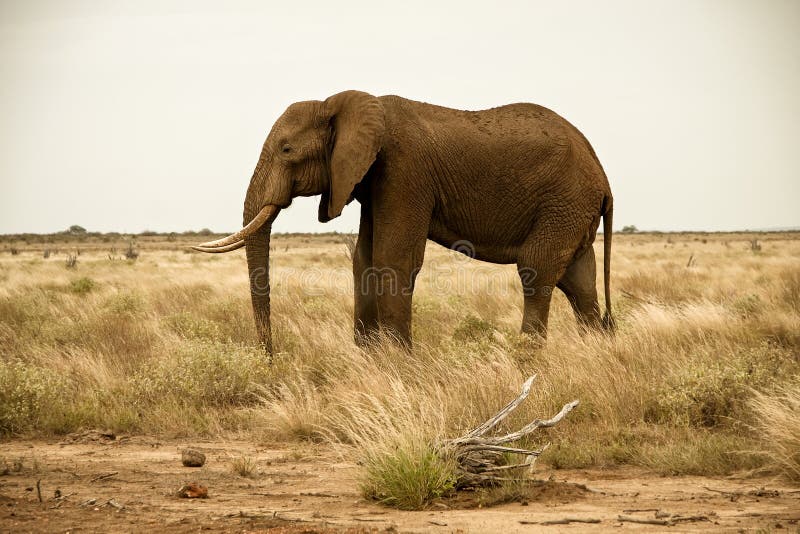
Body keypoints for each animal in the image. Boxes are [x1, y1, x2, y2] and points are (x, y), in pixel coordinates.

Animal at [194, 90, 614, 354]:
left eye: (286, 150)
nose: (271, 356)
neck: (344, 104)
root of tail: (602, 173)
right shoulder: (369, 179)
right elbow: (363, 259)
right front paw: (367, 357)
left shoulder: (404, 171)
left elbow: (392, 258)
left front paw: (398, 361)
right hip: (573, 208)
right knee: (580, 281)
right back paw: (594, 354)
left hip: (565, 199)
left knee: (536, 270)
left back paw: (525, 357)